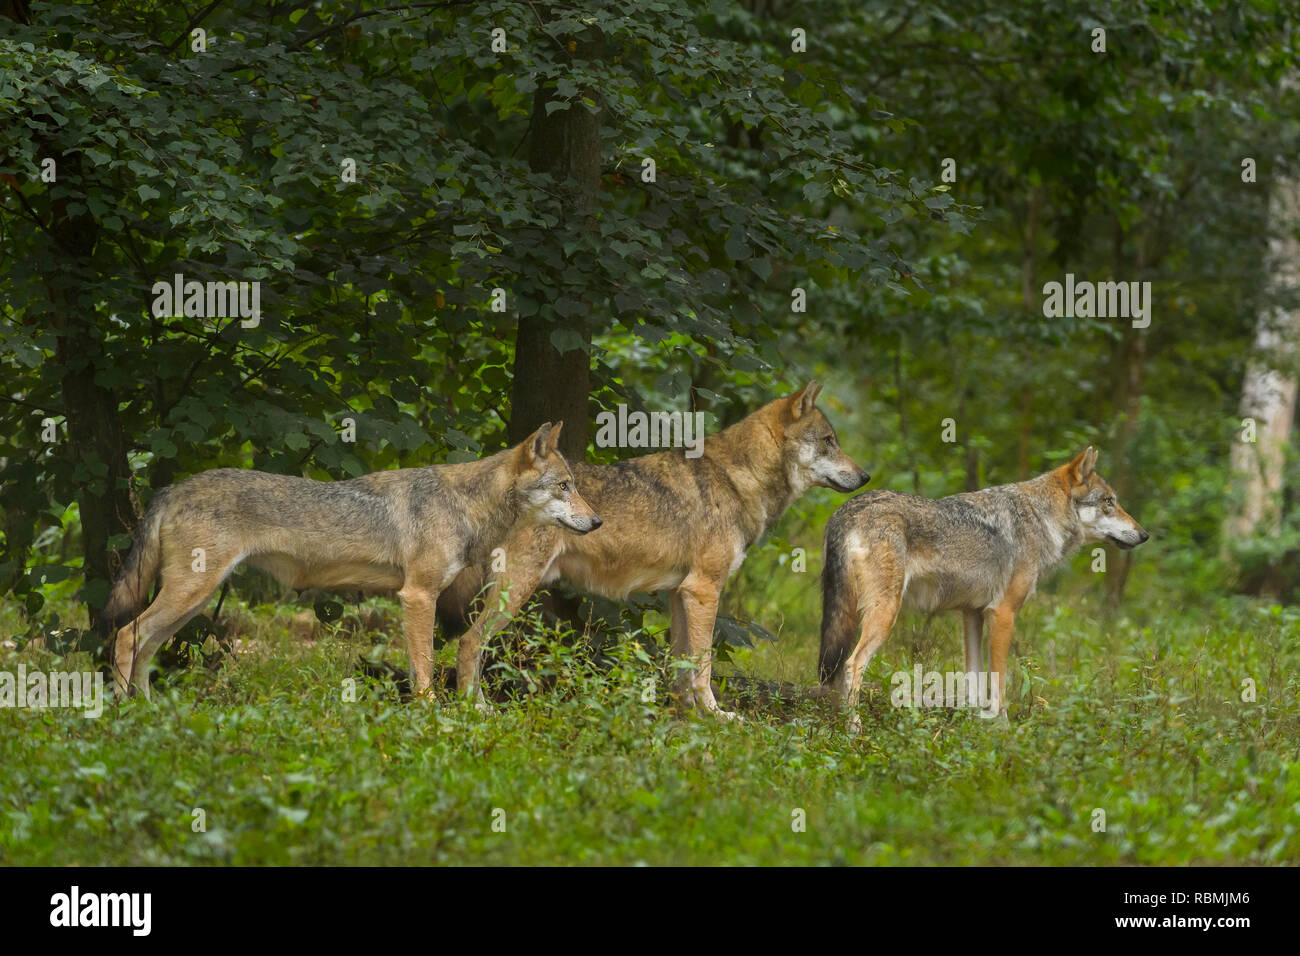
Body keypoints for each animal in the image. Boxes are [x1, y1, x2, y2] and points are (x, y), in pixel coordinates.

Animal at [101, 422, 600, 699]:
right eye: (564, 486)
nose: (596, 522)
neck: (466, 505)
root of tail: (172, 488)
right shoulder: (418, 596)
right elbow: (424, 672)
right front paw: (433, 721)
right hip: (190, 594)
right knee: (126, 635)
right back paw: (124, 714)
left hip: (194, 602)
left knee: (145, 648)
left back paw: (150, 713)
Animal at [437, 382, 871, 718]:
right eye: (829, 442)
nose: (866, 476)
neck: (737, 480)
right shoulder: (703, 591)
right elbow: (703, 666)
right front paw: (717, 715)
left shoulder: (680, 594)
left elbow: (683, 666)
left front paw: (687, 715)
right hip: (514, 590)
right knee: (469, 642)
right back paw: (476, 708)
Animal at [818, 447, 1148, 724]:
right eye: (1109, 502)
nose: (1144, 534)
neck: (1039, 518)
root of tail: (845, 511)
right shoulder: (1002, 614)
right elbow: (998, 681)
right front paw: (1002, 728)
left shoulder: (972, 614)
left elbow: (974, 682)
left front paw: (974, 725)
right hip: (885, 613)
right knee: (851, 665)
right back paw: (854, 732)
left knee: (834, 672)